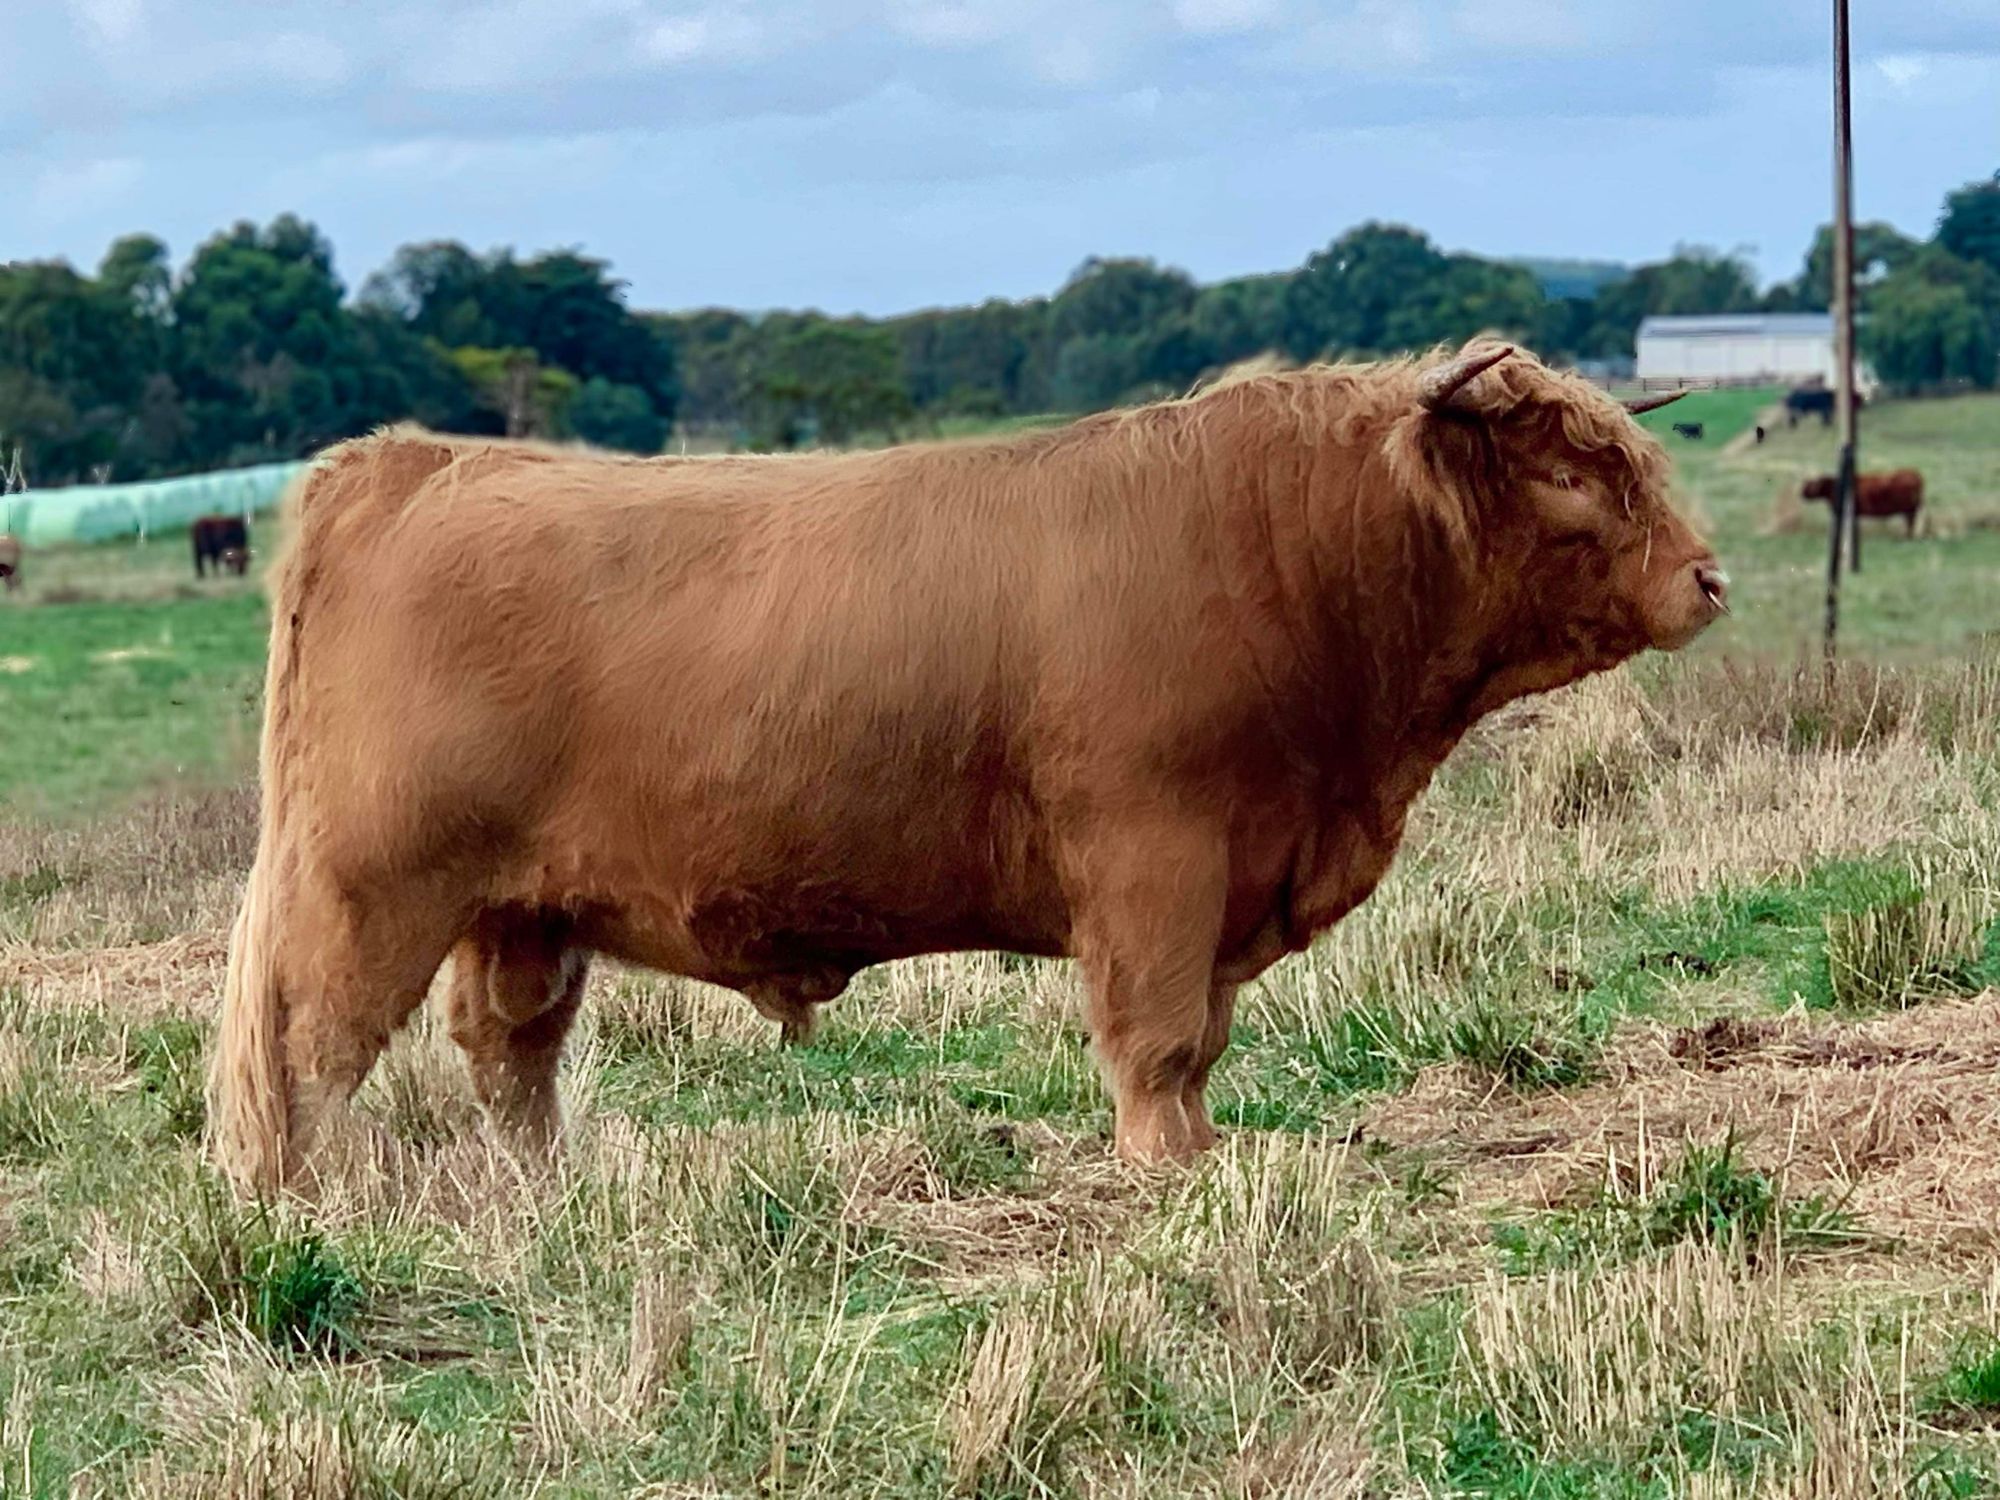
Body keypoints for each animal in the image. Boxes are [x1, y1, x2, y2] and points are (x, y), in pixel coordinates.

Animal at [208, 339, 1728, 1194]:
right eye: (1573, 469)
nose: (1708, 579)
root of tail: (407, 462)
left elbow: (1200, 1041)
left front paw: (1204, 1154)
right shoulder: (1155, 859)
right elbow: (1157, 1036)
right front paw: (1168, 1174)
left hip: (521, 908)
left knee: (509, 1054)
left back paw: (545, 1197)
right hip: (374, 888)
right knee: (311, 1050)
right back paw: (309, 1203)